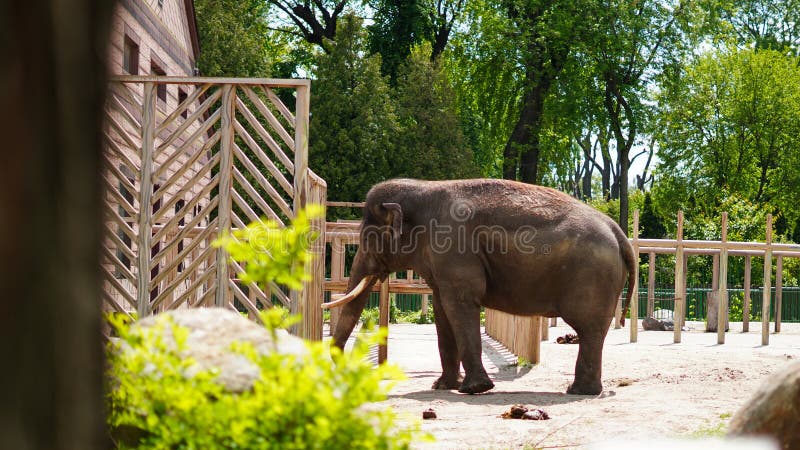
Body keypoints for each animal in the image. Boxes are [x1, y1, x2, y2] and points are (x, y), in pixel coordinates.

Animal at [323, 178, 636, 395]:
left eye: (368, 237)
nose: (337, 372)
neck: (421, 189)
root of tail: (617, 230)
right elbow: (442, 310)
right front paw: (442, 386)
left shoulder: (454, 250)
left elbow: (460, 305)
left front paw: (474, 389)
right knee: (593, 332)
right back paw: (583, 391)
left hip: (592, 278)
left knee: (589, 329)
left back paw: (578, 391)